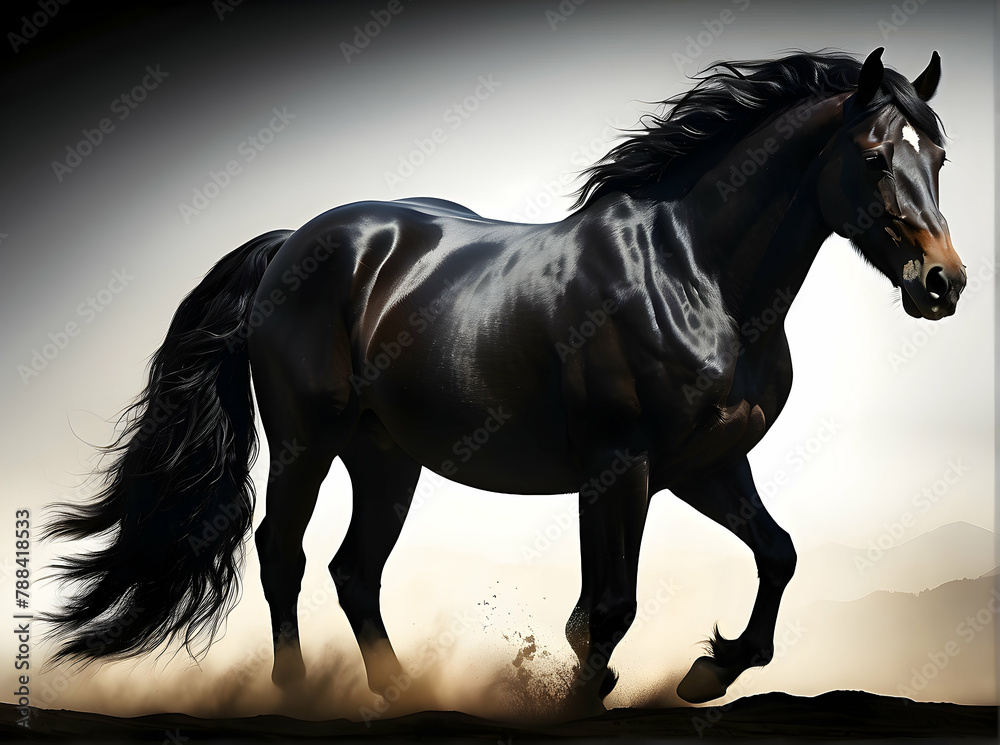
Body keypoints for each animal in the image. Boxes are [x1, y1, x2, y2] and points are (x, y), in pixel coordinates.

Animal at [44, 48, 965, 709]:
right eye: (875, 156)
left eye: (941, 155)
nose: (942, 284)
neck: (691, 272)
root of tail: (293, 241)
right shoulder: (618, 469)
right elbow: (607, 610)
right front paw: (583, 698)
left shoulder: (705, 466)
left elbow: (778, 554)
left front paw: (710, 670)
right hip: (307, 440)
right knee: (283, 552)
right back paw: (297, 693)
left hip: (387, 457)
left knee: (353, 569)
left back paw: (397, 691)